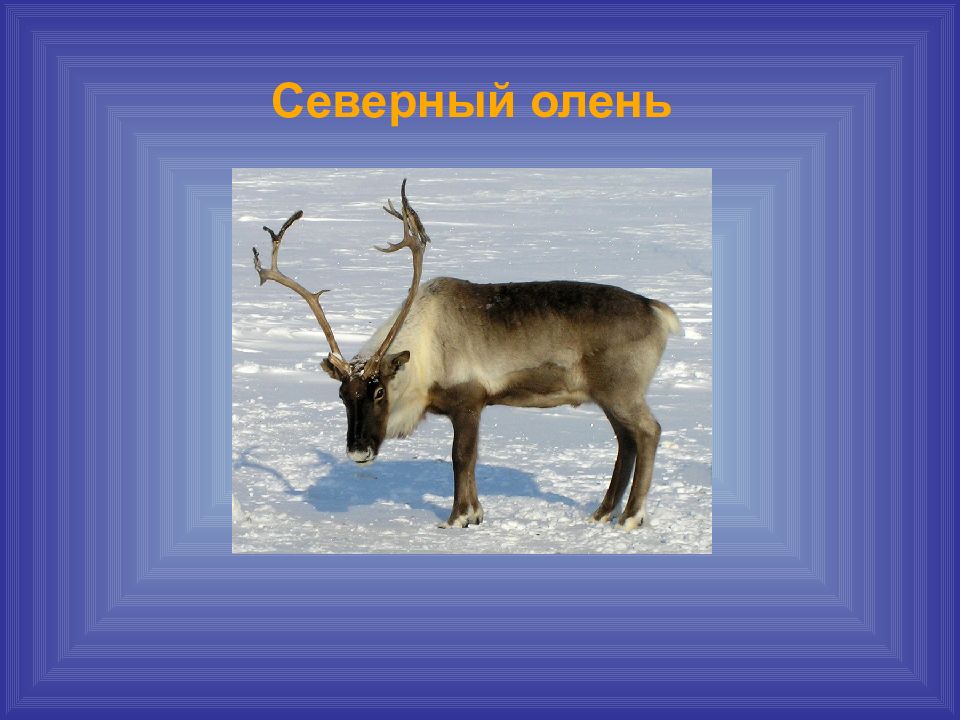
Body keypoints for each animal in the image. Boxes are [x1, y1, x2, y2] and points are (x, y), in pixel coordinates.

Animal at [251, 180, 682, 530]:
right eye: (343, 395)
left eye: (379, 390)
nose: (358, 450)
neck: (423, 356)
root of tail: (657, 311)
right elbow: (468, 459)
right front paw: (474, 514)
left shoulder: (470, 400)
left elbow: (463, 456)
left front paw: (459, 516)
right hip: (608, 396)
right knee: (626, 441)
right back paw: (602, 512)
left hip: (622, 390)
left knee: (648, 431)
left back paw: (631, 516)